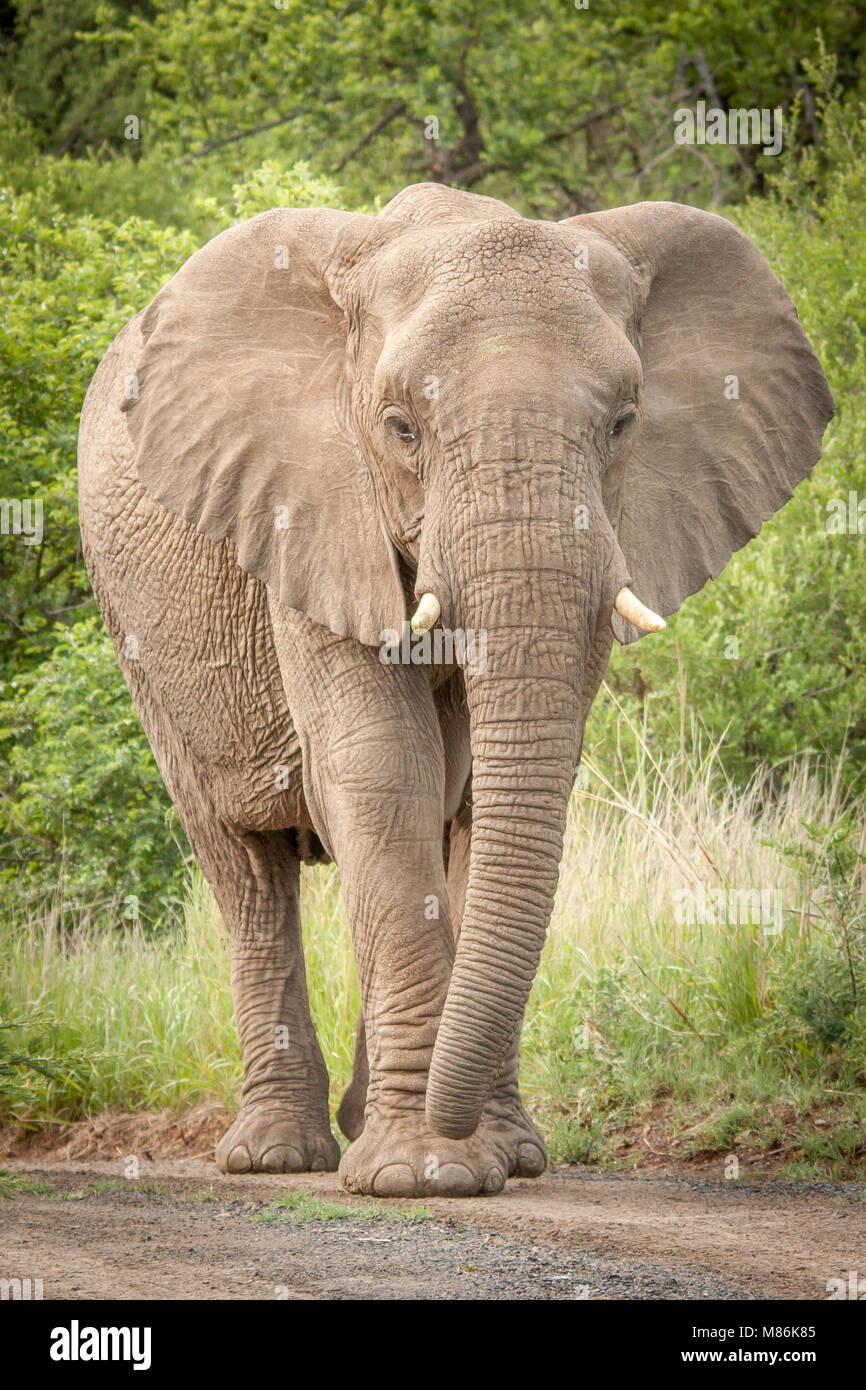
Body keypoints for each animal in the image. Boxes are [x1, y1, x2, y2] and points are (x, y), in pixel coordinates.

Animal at [77, 182, 833, 1197]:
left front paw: (506, 1158)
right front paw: (422, 1174)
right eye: (401, 426)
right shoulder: (308, 508)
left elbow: (489, 800)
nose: (457, 1119)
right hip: (139, 635)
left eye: (625, 422)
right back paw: (277, 1156)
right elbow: (379, 774)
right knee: (246, 867)